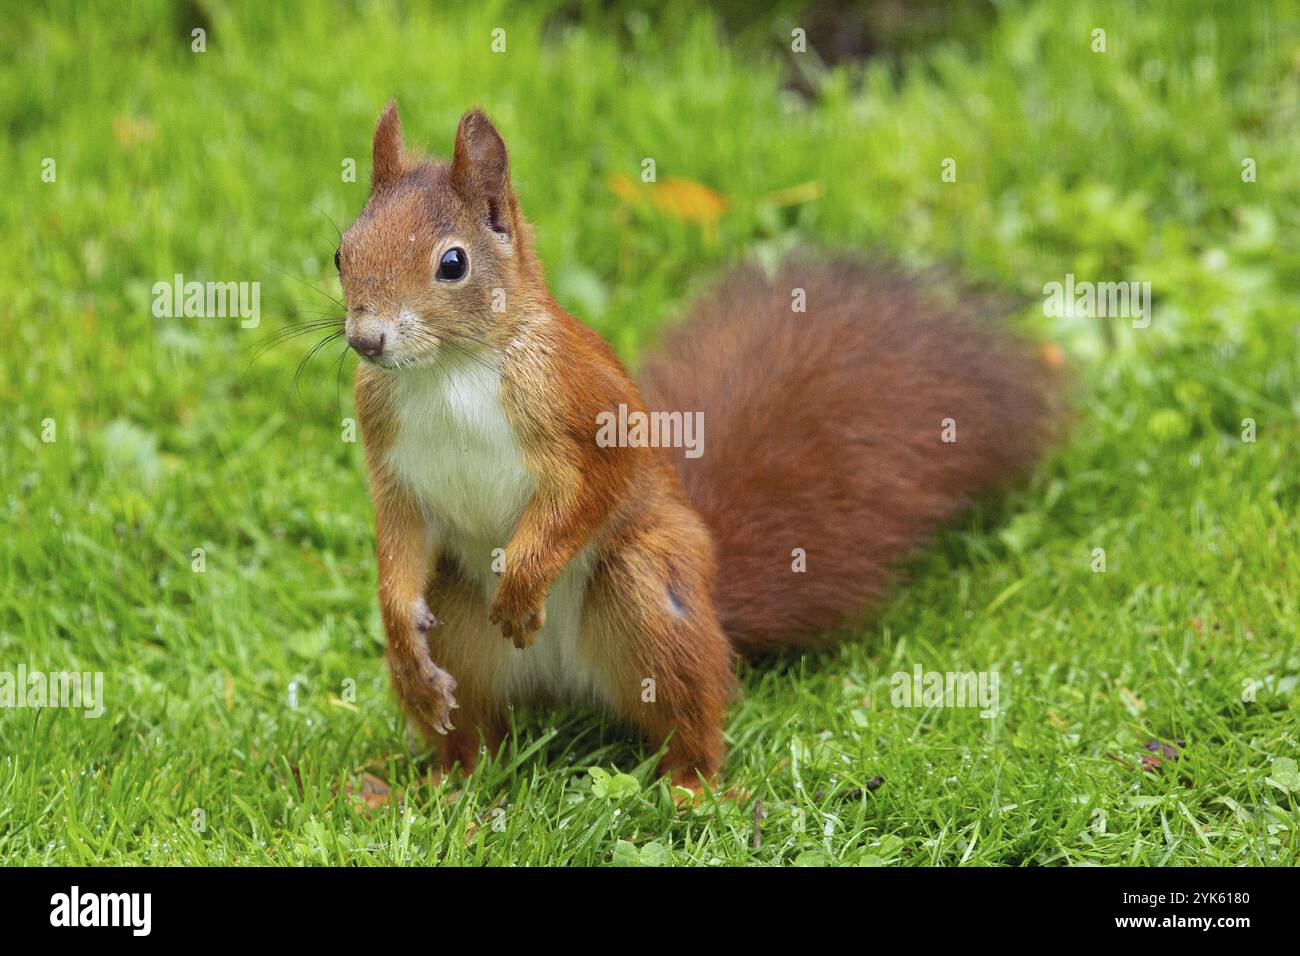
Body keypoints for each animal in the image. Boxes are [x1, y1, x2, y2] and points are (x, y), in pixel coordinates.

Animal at [337, 102, 1059, 789]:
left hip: (650, 593)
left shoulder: (586, 406)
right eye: (343, 252)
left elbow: (596, 487)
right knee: (476, 735)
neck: (446, 370)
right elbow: (398, 534)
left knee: (691, 717)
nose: (365, 340)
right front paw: (399, 623)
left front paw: (521, 585)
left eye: (452, 263)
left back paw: (694, 785)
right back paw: (436, 782)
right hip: (461, 624)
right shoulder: (388, 457)